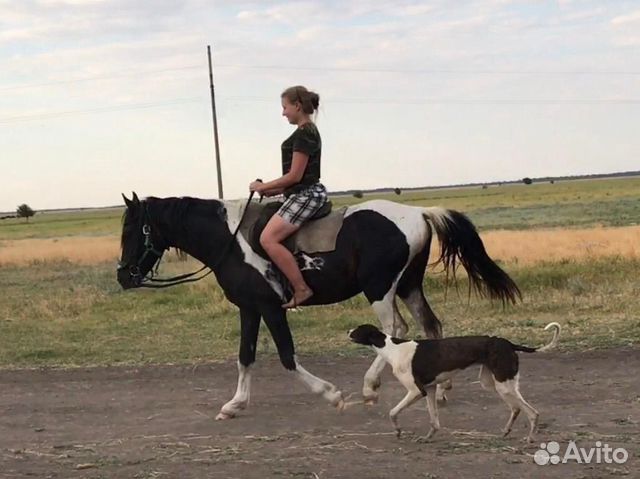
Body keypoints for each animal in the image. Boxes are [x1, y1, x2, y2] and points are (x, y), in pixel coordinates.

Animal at [117, 192, 520, 420]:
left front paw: (332, 395)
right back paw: (443, 386)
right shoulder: (249, 308)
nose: (123, 275)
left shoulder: (270, 307)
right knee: (430, 325)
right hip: (408, 285)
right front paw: (234, 405)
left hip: (380, 288)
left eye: (133, 230)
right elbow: (245, 356)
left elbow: (286, 357)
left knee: (394, 330)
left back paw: (370, 387)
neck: (229, 242)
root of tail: (419, 213)